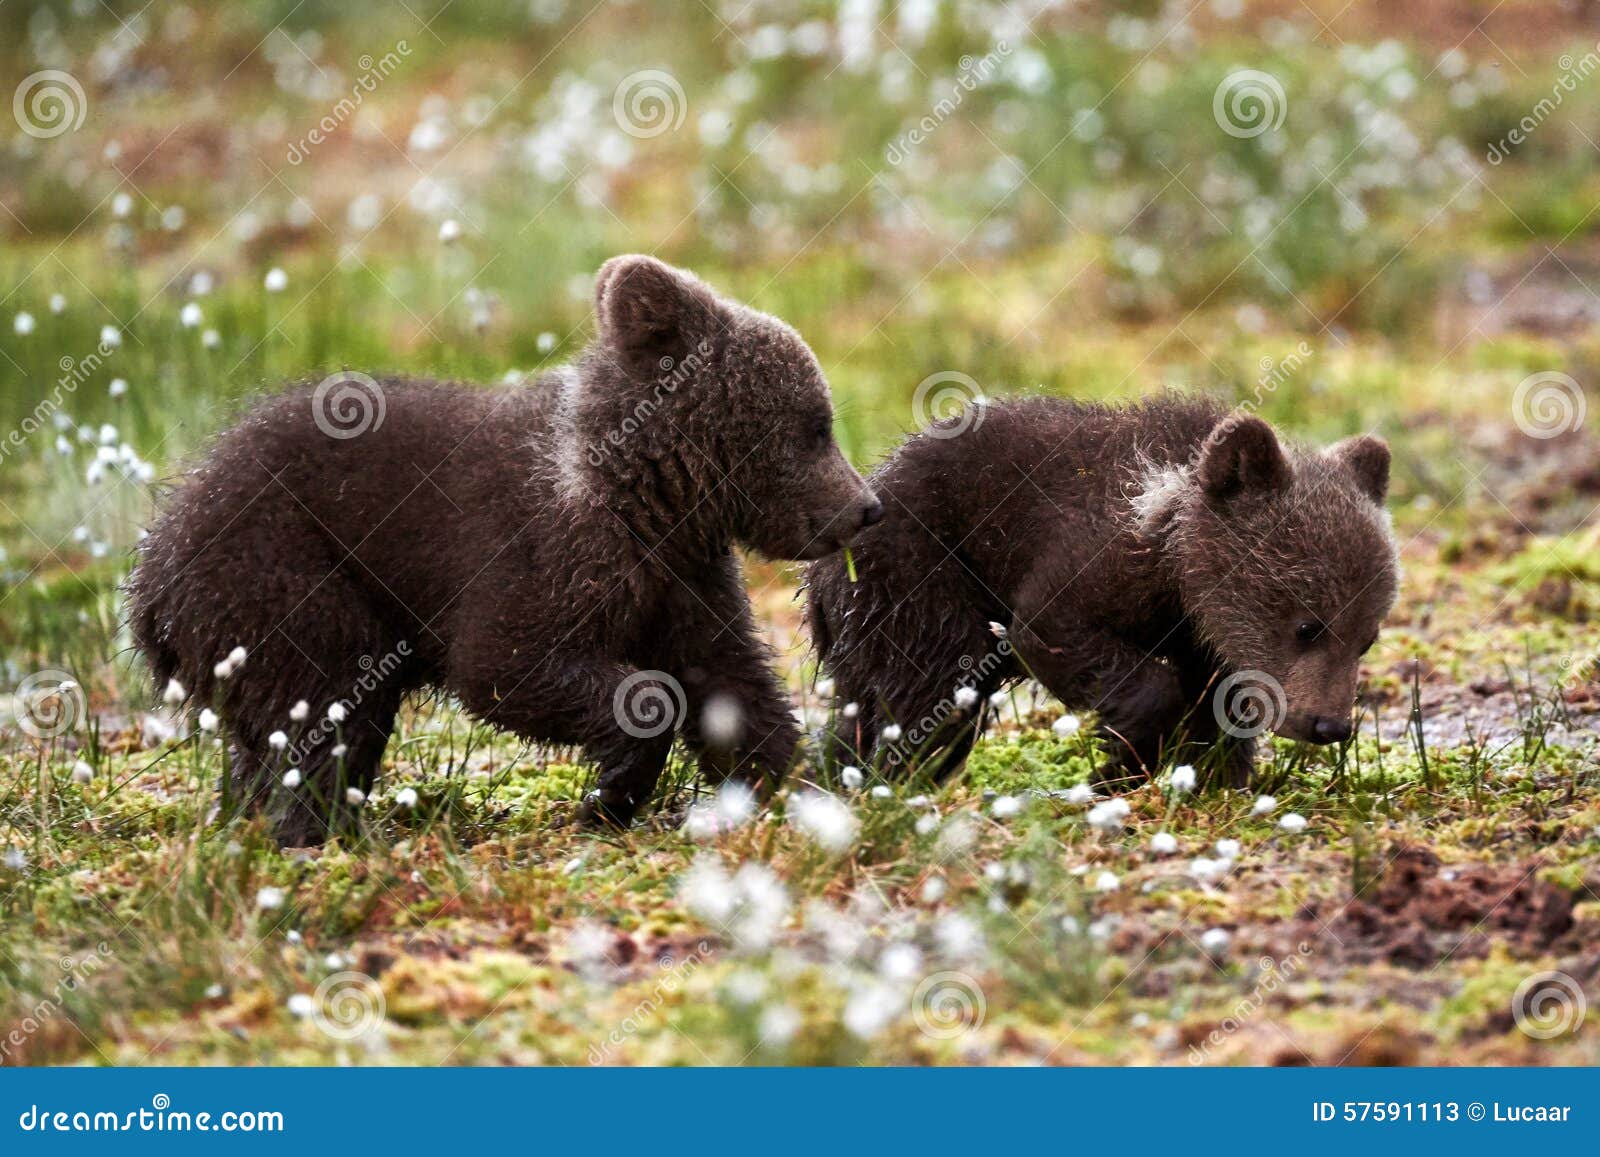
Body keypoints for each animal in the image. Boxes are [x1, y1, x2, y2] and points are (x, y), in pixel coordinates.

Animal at [128, 255, 882, 845]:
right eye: (816, 427)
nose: (866, 507)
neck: (642, 497)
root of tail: (149, 578)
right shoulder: (539, 553)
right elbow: (506, 665)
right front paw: (610, 793)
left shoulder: (681, 575)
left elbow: (730, 679)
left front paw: (795, 784)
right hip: (282, 577)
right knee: (323, 704)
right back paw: (319, 830)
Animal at [805, 394, 1398, 787]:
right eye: (1307, 626)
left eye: (1366, 638)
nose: (1329, 724)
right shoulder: (1087, 561)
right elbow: (1055, 630)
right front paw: (1122, 761)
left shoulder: (1206, 639)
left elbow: (1218, 705)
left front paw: (1212, 776)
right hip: (918, 578)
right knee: (932, 689)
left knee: (861, 709)